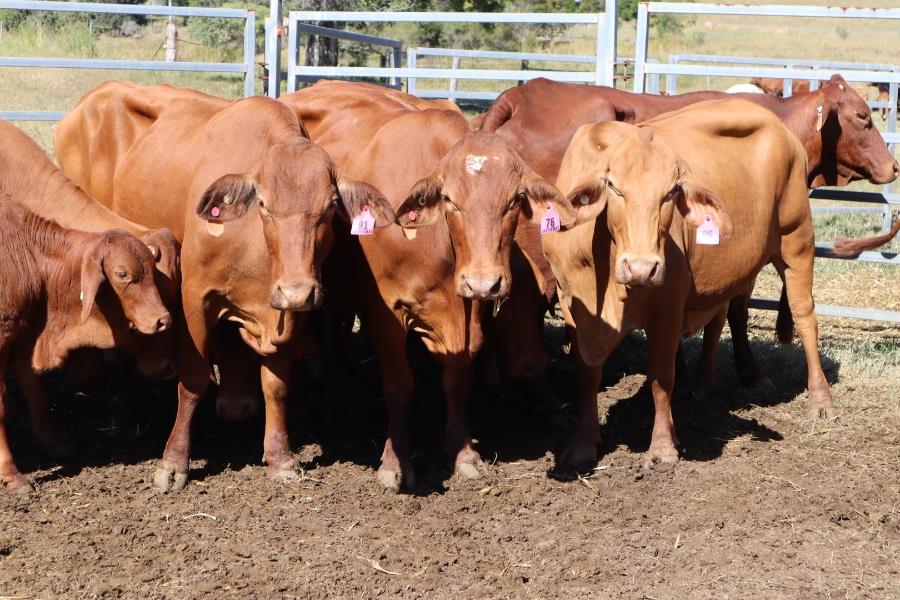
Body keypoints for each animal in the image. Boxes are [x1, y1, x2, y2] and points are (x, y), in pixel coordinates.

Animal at [0, 199, 171, 492]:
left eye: (152, 270)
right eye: (122, 274)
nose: (162, 319)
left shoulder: (24, 331)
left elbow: (33, 383)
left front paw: (54, 443)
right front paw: (11, 474)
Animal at [55, 83, 394, 491]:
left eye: (329, 207)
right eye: (263, 203)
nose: (297, 290)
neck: (252, 247)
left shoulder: (285, 313)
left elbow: (275, 384)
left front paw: (280, 456)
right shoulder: (194, 300)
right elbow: (193, 380)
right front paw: (174, 462)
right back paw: (126, 417)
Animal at [279, 80, 574, 490]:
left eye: (515, 200)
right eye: (451, 200)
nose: (484, 281)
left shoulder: (470, 312)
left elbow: (457, 378)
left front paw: (462, 451)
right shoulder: (386, 311)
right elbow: (398, 385)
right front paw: (395, 462)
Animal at [543, 99, 834, 470]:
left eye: (671, 192)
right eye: (614, 187)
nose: (642, 268)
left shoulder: (667, 307)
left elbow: (660, 378)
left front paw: (663, 447)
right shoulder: (572, 307)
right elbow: (587, 374)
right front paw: (582, 445)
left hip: (796, 240)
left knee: (804, 317)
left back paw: (821, 400)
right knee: (720, 318)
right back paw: (702, 383)